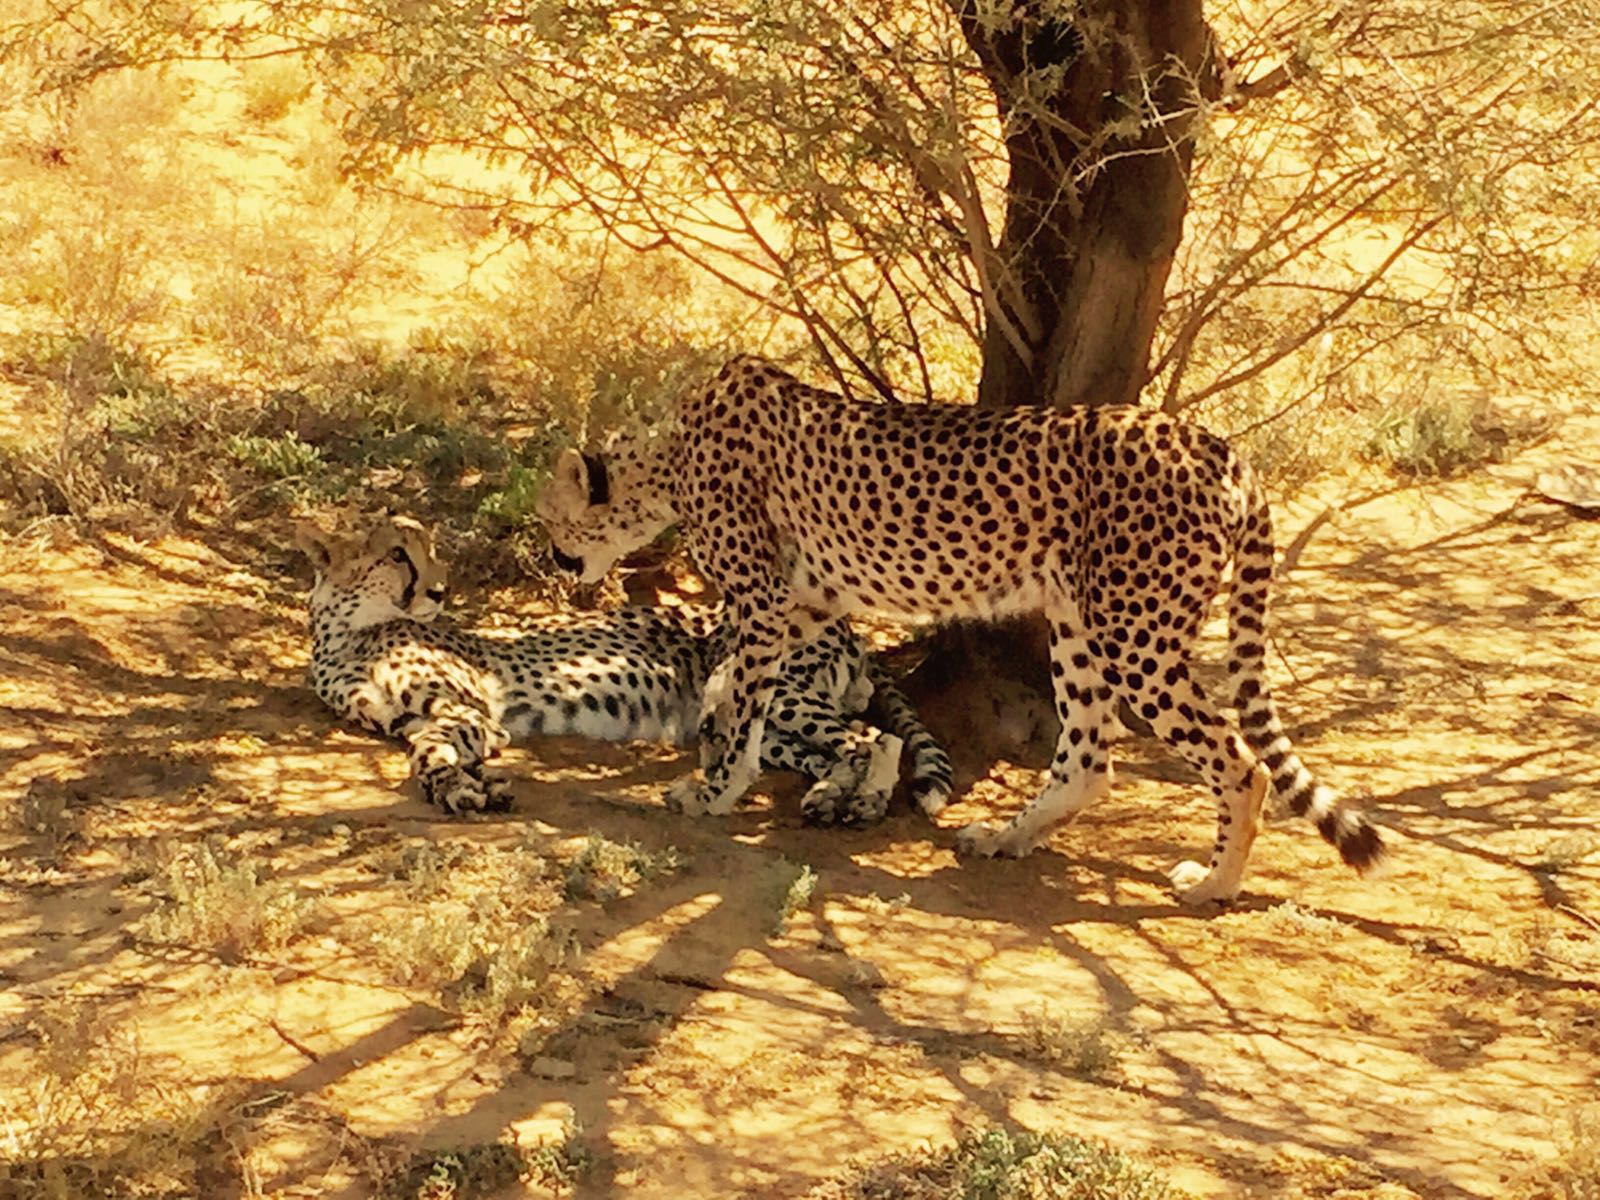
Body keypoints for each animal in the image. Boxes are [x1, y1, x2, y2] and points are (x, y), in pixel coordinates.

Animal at [297, 512, 951, 822]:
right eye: (396, 554)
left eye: (426, 550)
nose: (439, 589)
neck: (347, 631)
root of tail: (846, 628)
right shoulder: (417, 719)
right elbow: (426, 749)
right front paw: (469, 783)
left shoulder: (469, 711)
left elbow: (426, 754)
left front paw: (459, 787)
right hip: (750, 722)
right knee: (835, 749)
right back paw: (827, 797)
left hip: (766, 691)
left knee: (876, 737)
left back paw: (864, 804)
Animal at [534, 354, 1387, 906]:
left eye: (556, 516)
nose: (551, 554)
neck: (668, 458)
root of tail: (1212, 444)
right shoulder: (808, 601)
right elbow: (733, 683)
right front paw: (731, 750)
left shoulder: (766, 599)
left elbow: (744, 699)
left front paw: (713, 791)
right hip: (1077, 626)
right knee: (1089, 760)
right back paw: (1005, 838)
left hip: (1134, 635)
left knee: (1241, 764)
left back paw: (1215, 882)